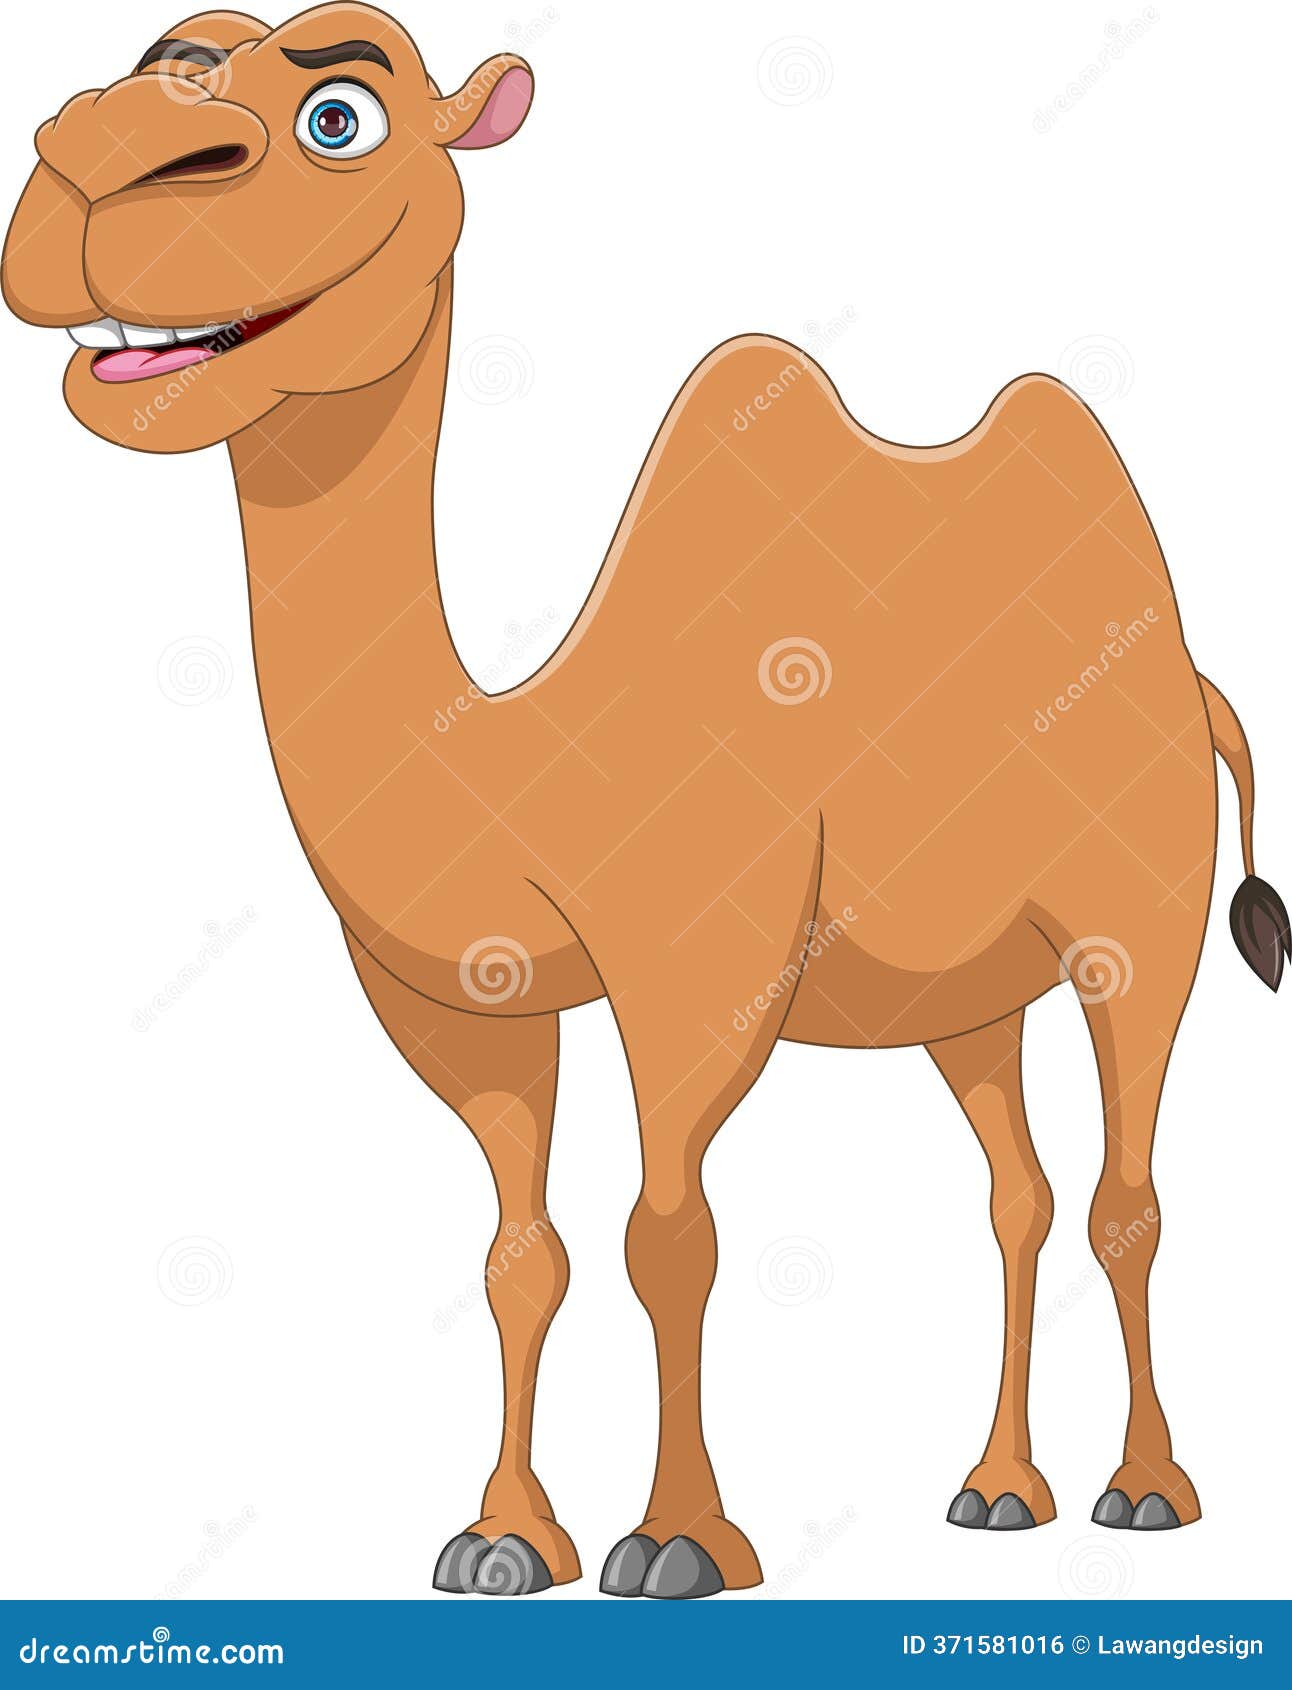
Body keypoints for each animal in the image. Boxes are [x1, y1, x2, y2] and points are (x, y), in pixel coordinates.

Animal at [5, 4, 1288, 1601]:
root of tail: (1193, 678)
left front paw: (678, 1537)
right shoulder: (473, 1002)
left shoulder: (697, 962)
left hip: (1139, 894)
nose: (82, 165)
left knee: (1129, 1179)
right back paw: (995, 1491)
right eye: (156, 55)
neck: (529, 755)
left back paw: (1146, 1491)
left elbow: (668, 1232)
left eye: (340, 114)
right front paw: (502, 1535)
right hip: (965, 990)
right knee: (1018, 1186)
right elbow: (522, 1250)